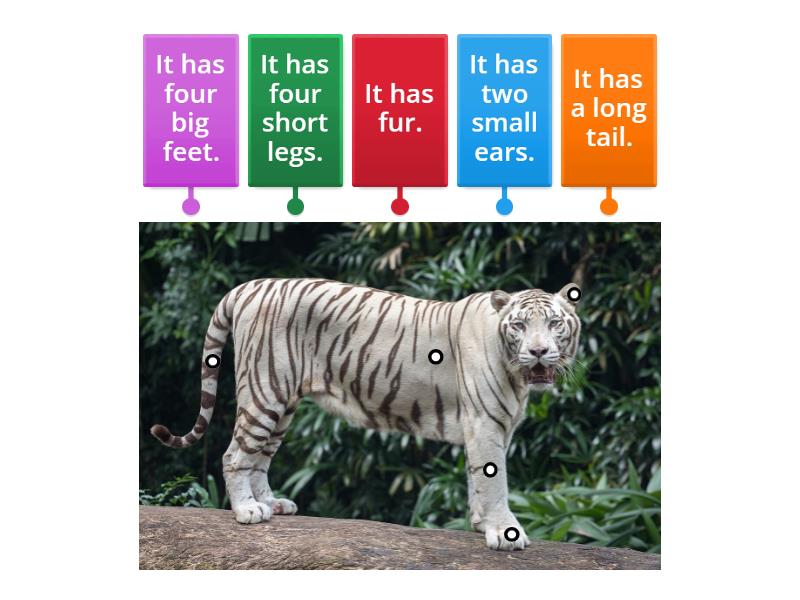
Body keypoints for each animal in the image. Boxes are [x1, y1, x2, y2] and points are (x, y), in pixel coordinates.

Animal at [151, 278, 582, 551]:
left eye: (554, 324)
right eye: (520, 325)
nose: (539, 352)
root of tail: (248, 287)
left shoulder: (491, 426)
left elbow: (478, 478)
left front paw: (481, 525)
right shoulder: (486, 423)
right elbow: (494, 481)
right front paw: (505, 533)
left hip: (282, 403)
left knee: (259, 458)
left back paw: (272, 504)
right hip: (265, 392)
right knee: (235, 455)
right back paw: (248, 511)